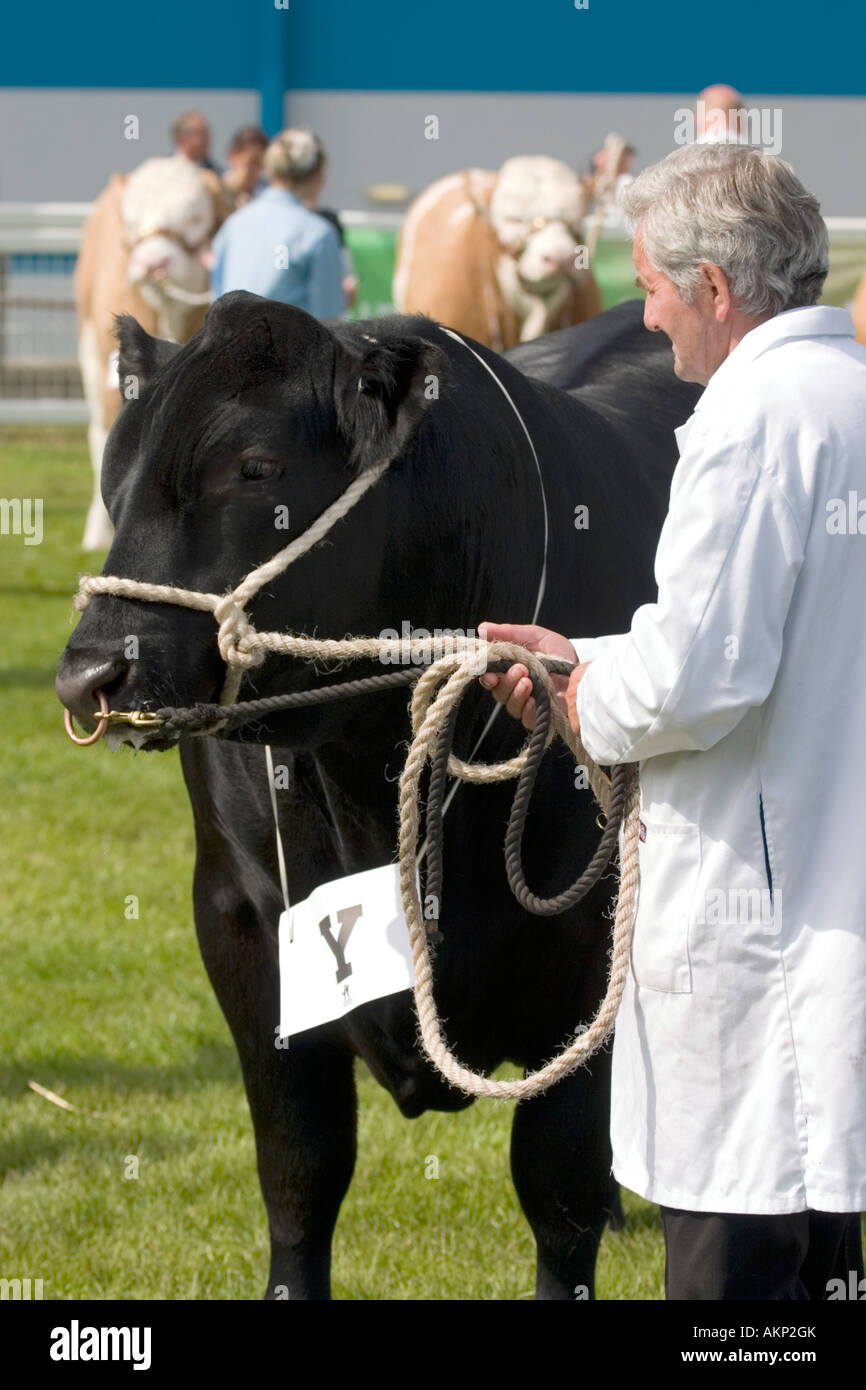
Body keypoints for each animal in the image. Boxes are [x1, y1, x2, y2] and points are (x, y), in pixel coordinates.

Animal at [56, 292, 701, 1300]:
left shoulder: (592, 934)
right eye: (112, 475)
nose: (93, 671)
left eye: (256, 468)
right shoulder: (239, 918)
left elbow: (555, 1181)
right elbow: (301, 1167)